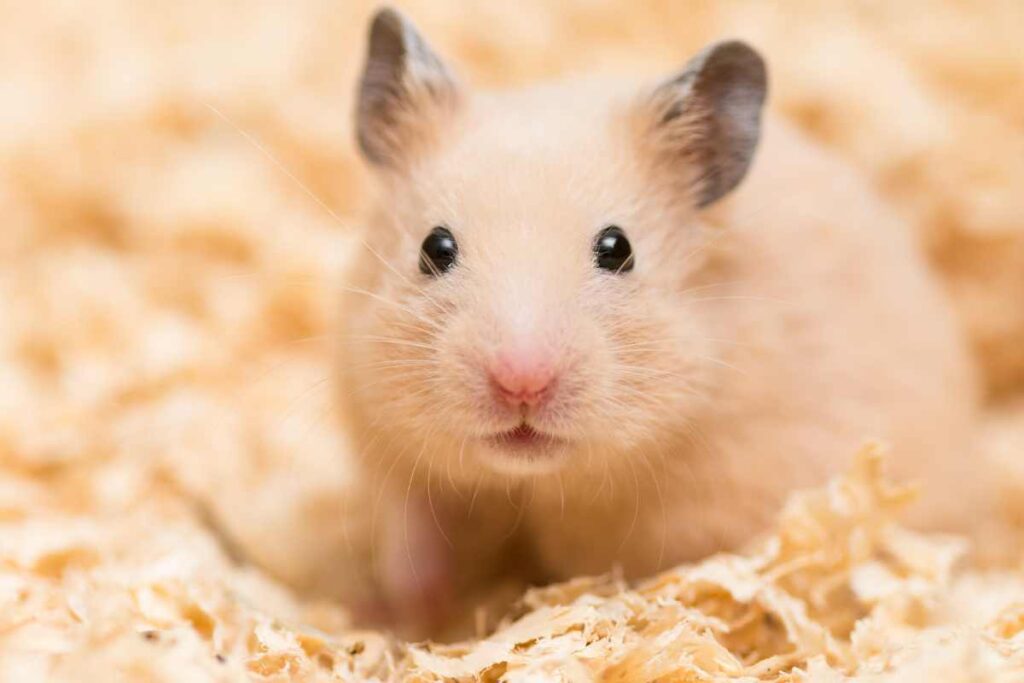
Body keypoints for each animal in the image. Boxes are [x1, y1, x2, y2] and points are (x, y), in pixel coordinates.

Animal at [336, 7, 982, 630]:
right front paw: (395, 619)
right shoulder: (388, 450)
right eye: (435, 248)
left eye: (617, 249)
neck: (538, 482)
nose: (522, 383)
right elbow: (412, 544)